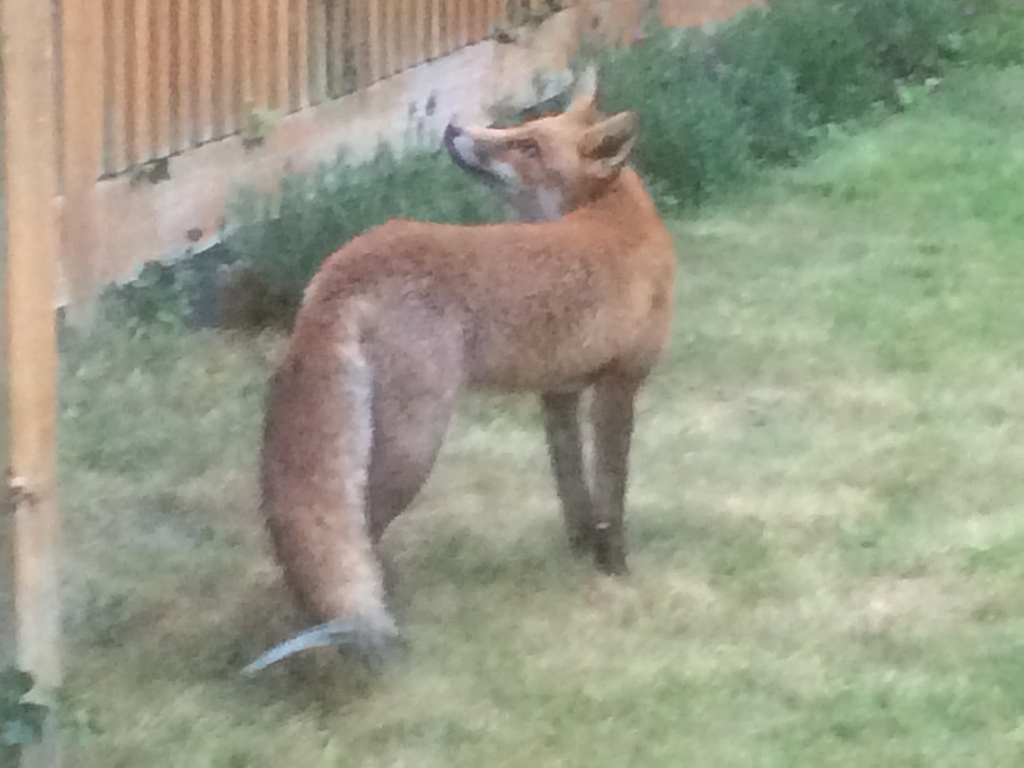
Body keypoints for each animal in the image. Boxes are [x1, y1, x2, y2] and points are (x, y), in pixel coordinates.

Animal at [243, 65, 676, 674]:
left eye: (526, 143)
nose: (453, 129)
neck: (607, 213)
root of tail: (349, 261)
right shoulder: (620, 384)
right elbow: (613, 493)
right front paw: (615, 569)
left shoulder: (559, 393)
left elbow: (575, 490)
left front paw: (579, 553)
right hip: (414, 444)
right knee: (359, 533)